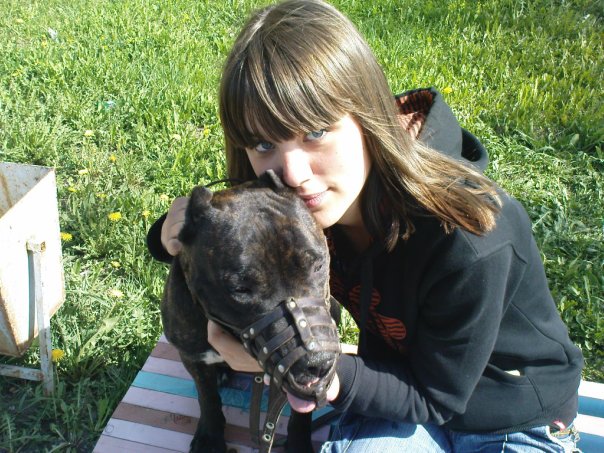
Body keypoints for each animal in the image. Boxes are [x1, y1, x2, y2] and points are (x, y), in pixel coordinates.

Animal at [161, 170, 341, 453]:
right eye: (240, 289)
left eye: (319, 265)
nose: (318, 361)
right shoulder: (191, 356)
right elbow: (207, 398)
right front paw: (210, 438)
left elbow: (302, 414)